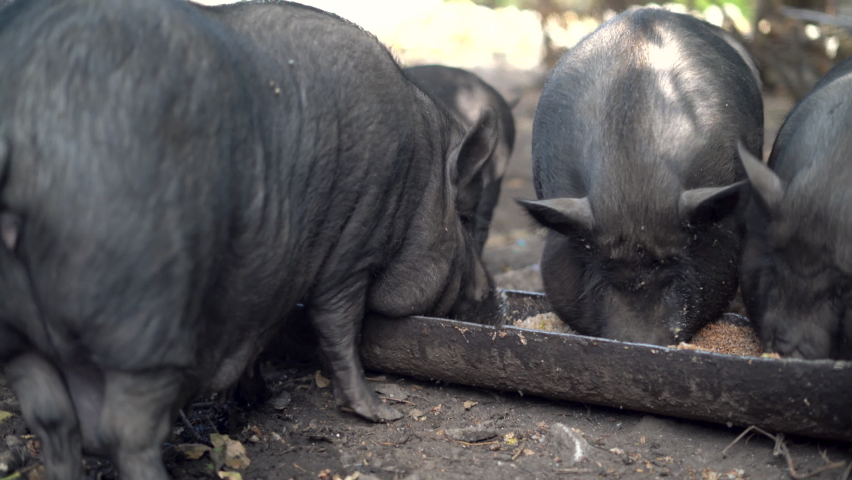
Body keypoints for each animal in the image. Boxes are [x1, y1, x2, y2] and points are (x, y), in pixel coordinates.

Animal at [0, 0, 499, 479]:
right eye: (465, 217)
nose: (489, 292)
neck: (421, 173)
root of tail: (17, 129)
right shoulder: (353, 245)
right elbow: (339, 324)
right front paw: (381, 413)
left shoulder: (267, 276)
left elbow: (263, 337)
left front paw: (256, 398)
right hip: (141, 315)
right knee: (124, 432)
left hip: (20, 332)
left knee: (53, 420)